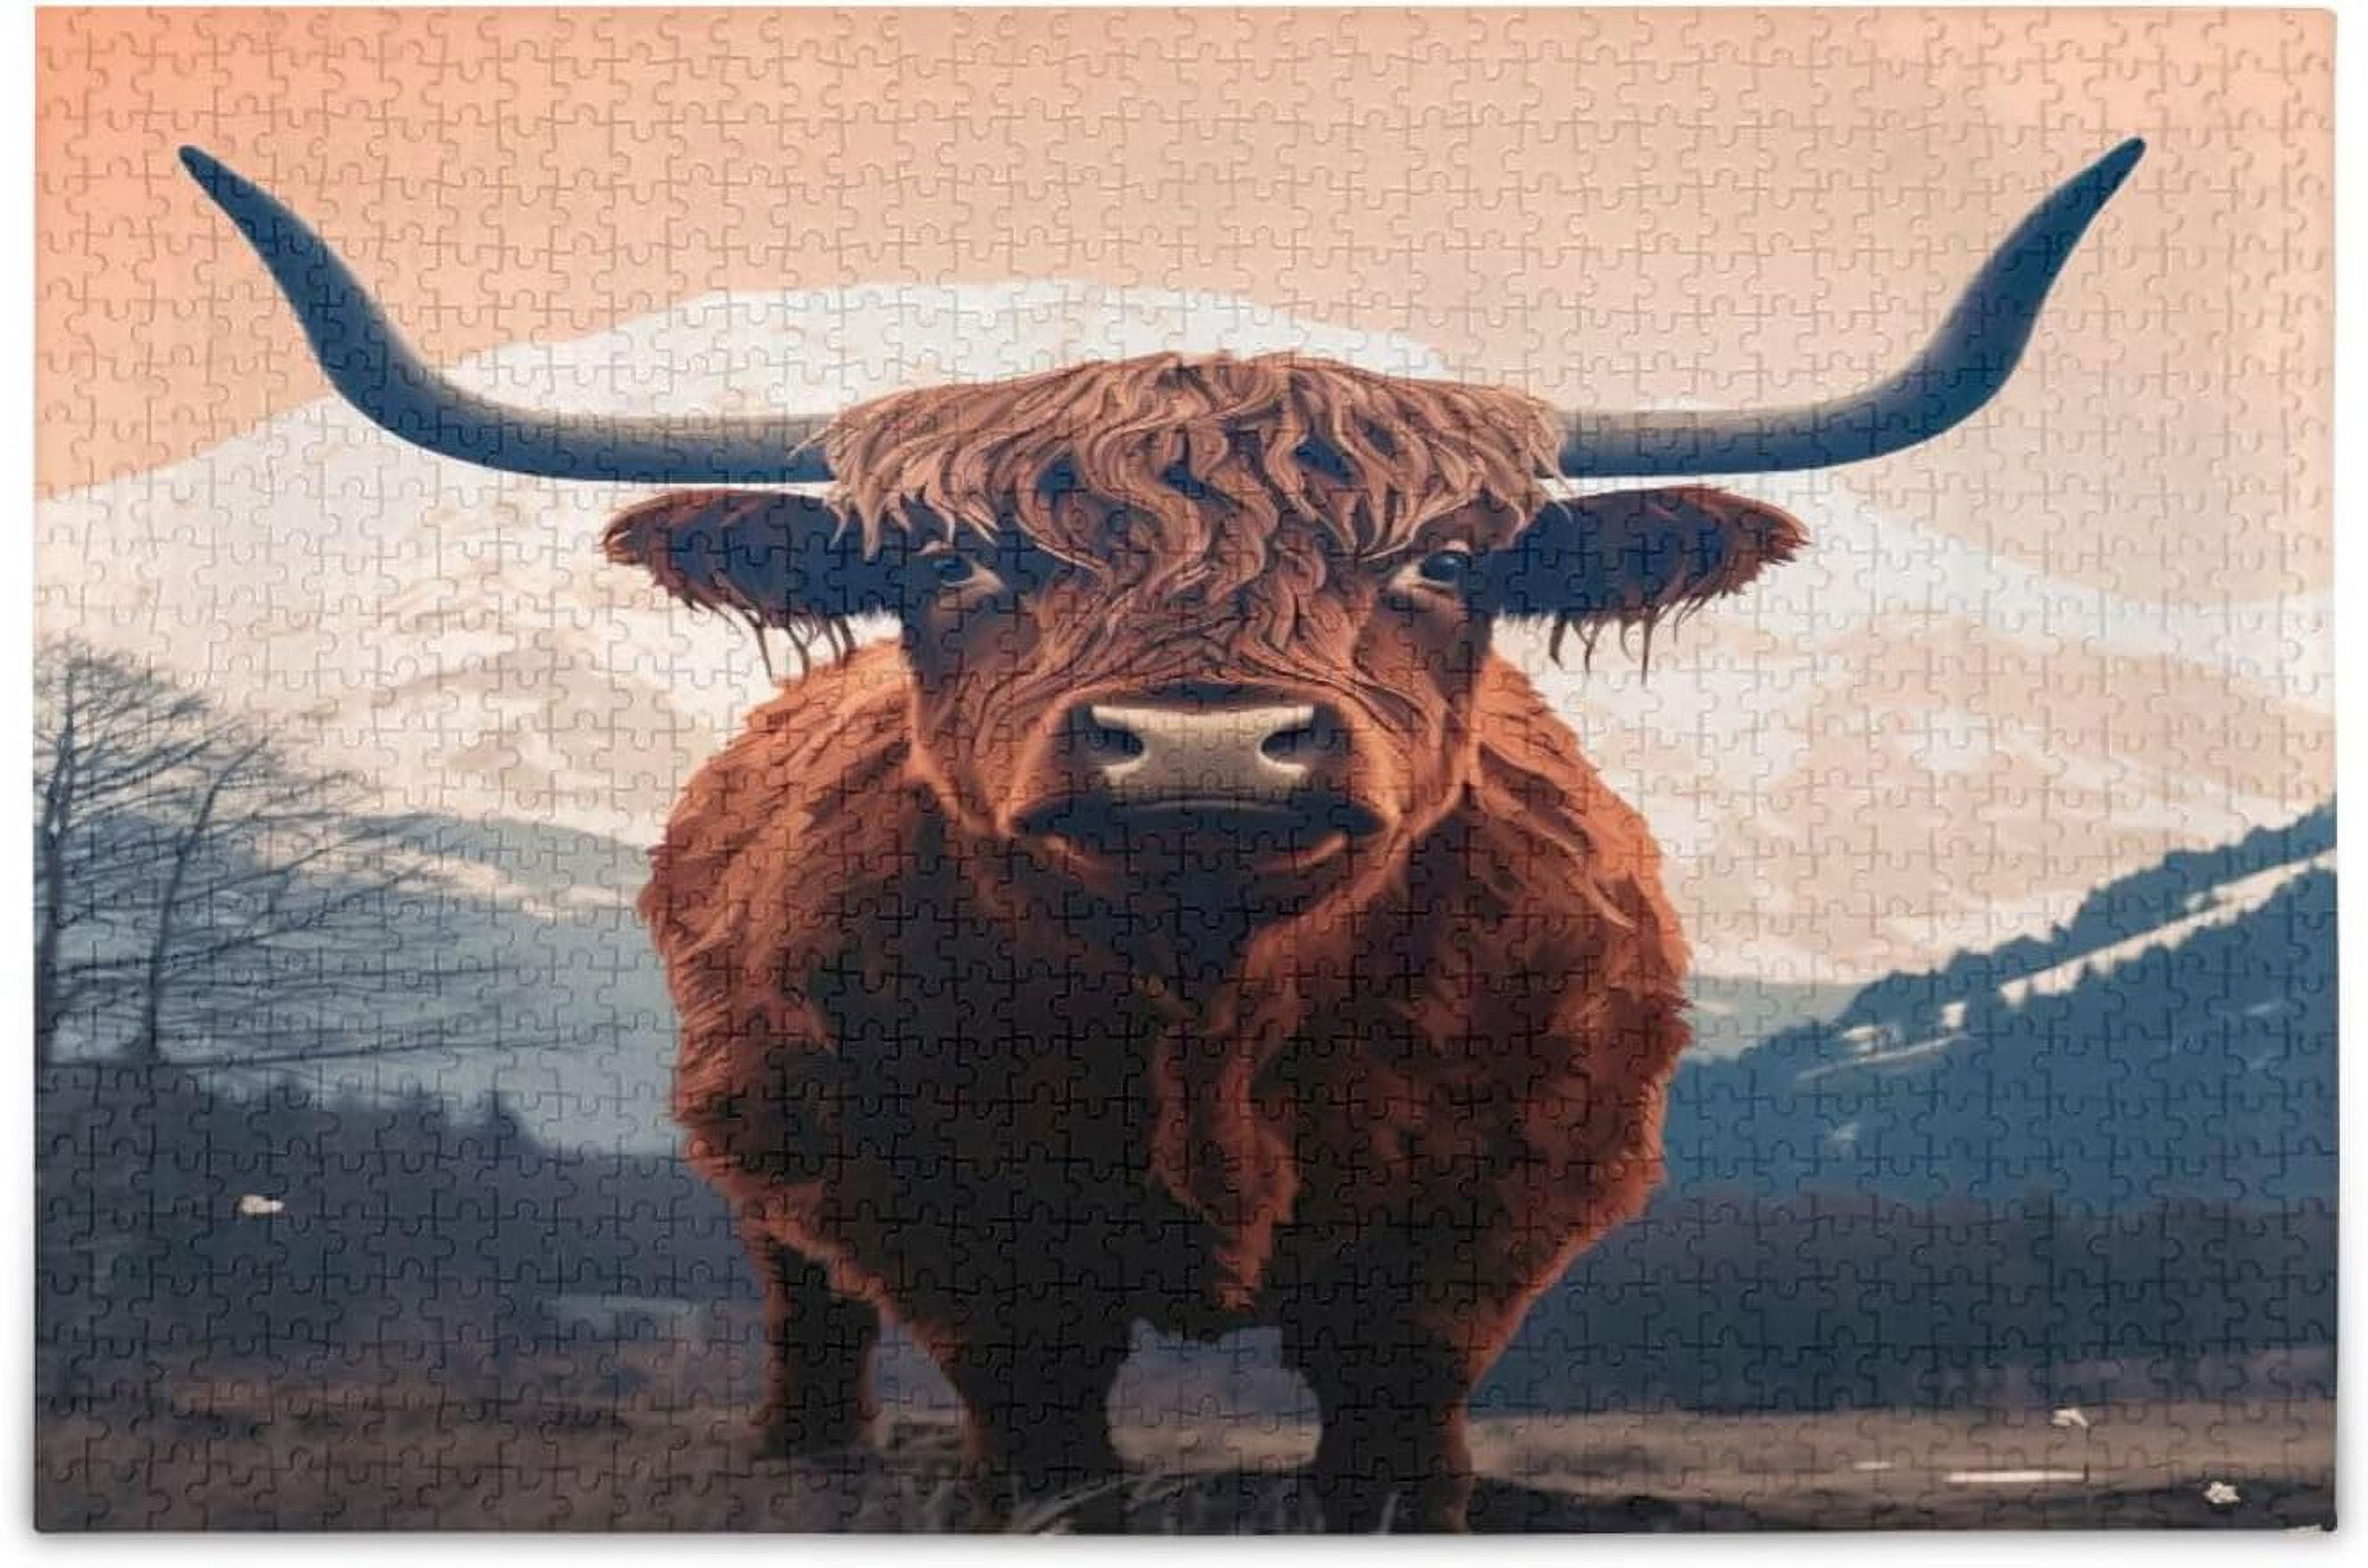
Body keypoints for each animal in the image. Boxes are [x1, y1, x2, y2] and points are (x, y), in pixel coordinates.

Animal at [183, 138, 2140, 1531]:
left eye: (1442, 562)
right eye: (953, 564)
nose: (1204, 743)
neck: (1208, 1012)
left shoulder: (1476, 1233)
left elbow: (1390, 1445)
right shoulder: (947, 1225)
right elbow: (1044, 1437)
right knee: (801, 1300)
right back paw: (807, 1451)